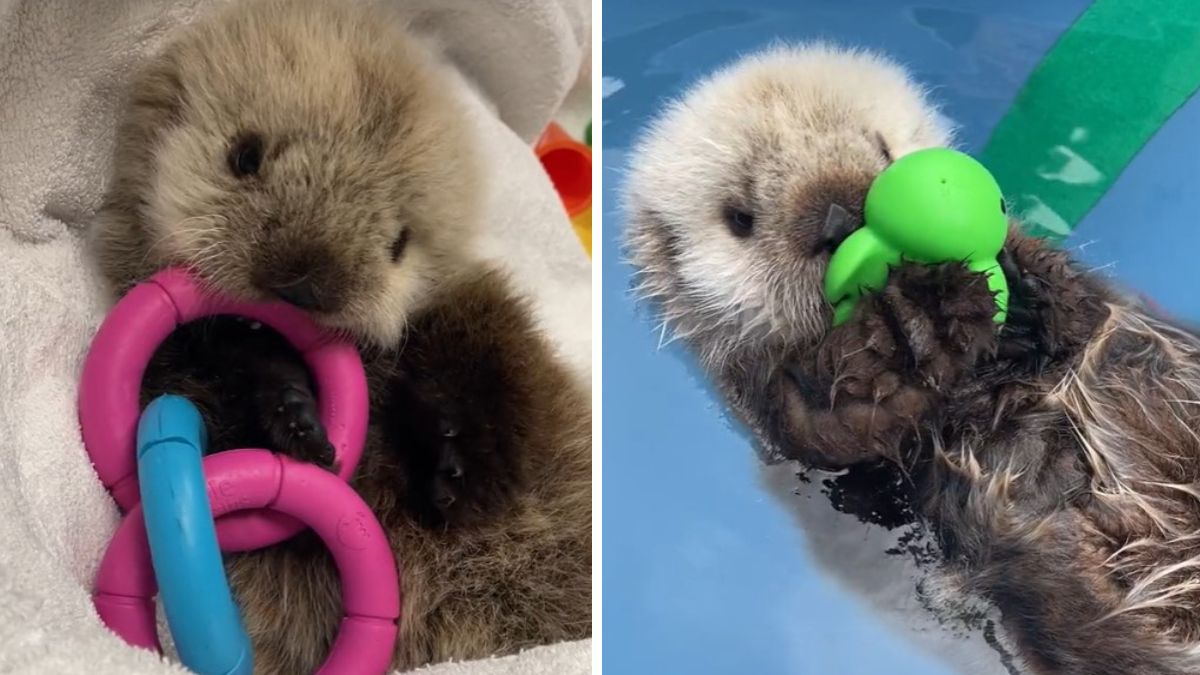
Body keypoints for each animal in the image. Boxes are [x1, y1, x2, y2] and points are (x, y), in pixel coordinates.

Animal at [90, 0, 591, 672]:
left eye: (400, 242)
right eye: (245, 156)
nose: (305, 284)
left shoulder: (475, 310)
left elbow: (494, 360)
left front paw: (463, 466)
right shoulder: (171, 366)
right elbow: (221, 389)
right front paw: (291, 412)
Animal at [626, 43, 1200, 675]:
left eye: (882, 147)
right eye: (739, 218)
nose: (842, 218)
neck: (980, 375)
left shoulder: (1096, 308)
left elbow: (1080, 311)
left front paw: (1010, 279)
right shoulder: (783, 418)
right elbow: (838, 428)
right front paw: (915, 321)